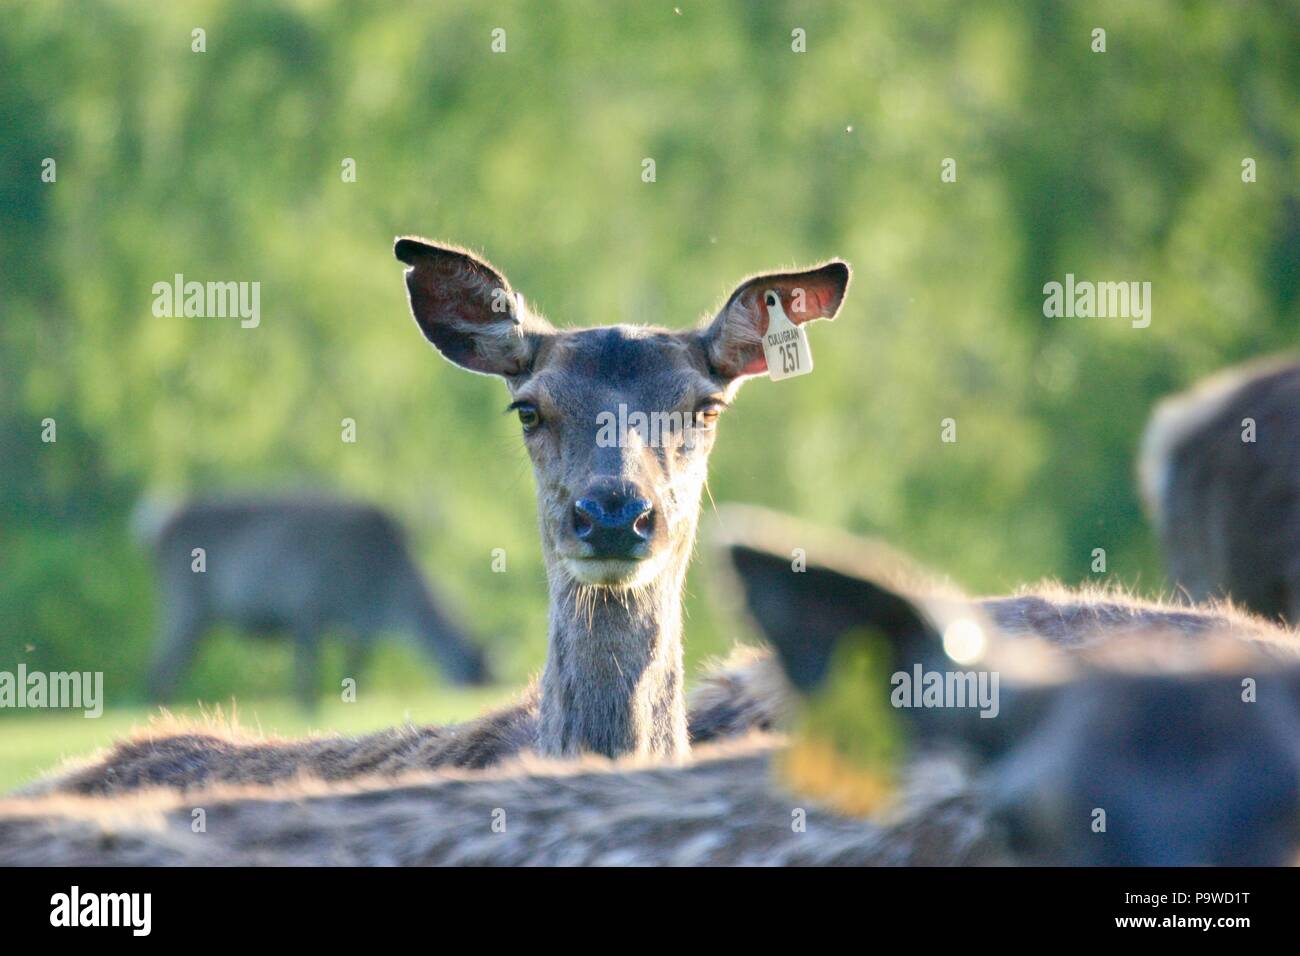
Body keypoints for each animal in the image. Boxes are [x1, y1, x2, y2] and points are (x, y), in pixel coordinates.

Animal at [143, 495, 491, 707]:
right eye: (473, 669)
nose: (482, 692)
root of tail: (156, 526)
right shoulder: (308, 609)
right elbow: (307, 675)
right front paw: (309, 708)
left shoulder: (356, 626)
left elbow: (353, 671)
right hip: (187, 606)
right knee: (160, 666)